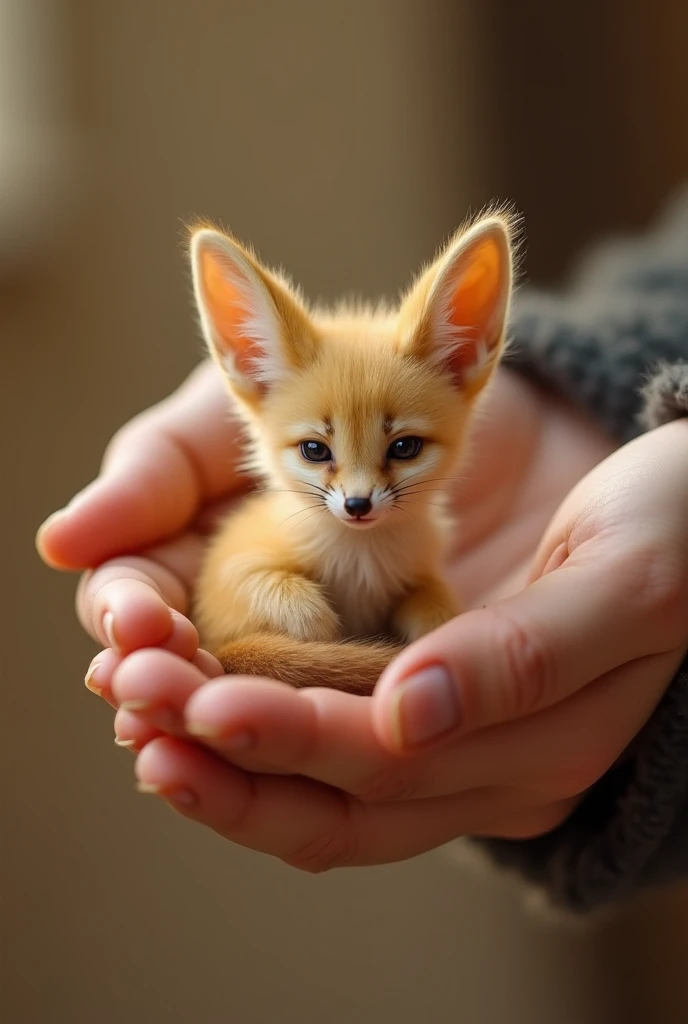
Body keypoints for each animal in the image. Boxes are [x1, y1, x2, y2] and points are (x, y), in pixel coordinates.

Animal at [189, 209, 516, 695]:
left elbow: (434, 605)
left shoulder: (423, 573)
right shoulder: (227, 574)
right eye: (314, 450)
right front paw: (319, 627)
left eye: (404, 447)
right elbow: (268, 588)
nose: (357, 505)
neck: (359, 565)